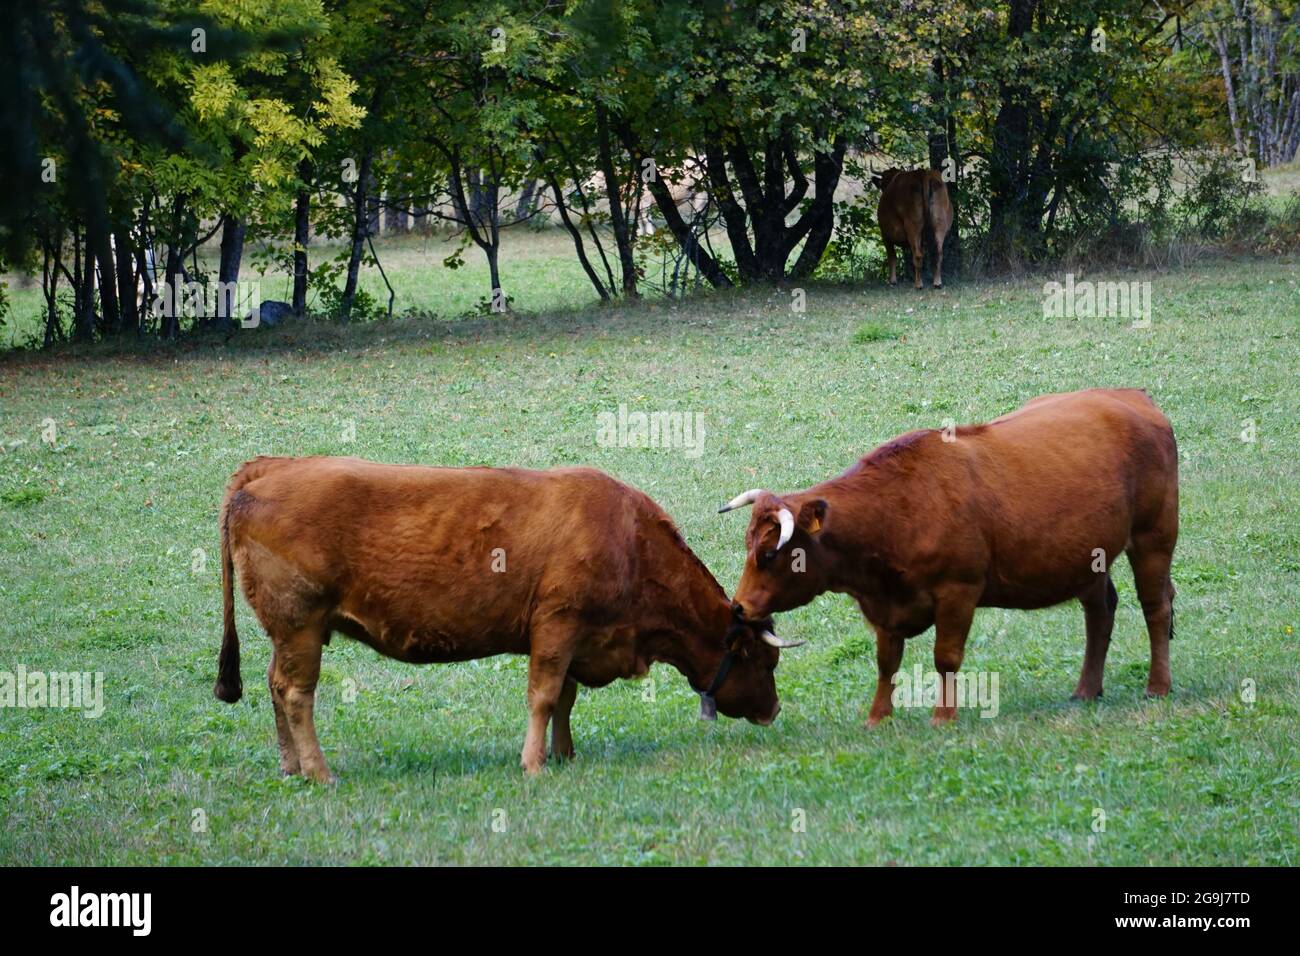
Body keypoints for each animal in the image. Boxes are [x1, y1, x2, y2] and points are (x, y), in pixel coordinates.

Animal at [214, 457, 796, 782]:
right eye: (766, 663)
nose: (773, 711)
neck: (630, 542)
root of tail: (272, 465)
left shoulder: (576, 638)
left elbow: (565, 697)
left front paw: (564, 754)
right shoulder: (557, 624)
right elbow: (544, 695)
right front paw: (534, 764)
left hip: (290, 633)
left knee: (275, 686)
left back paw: (291, 766)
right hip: (301, 624)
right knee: (295, 694)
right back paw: (320, 772)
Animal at [719, 388, 1178, 726]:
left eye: (769, 553)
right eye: (747, 545)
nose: (738, 607)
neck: (895, 509)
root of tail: (1130, 397)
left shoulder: (959, 590)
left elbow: (946, 657)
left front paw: (943, 717)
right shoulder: (885, 607)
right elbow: (886, 662)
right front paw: (877, 718)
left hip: (1154, 537)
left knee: (1155, 608)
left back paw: (1157, 686)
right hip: (1091, 559)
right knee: (1099, 613)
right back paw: (1086, 690)